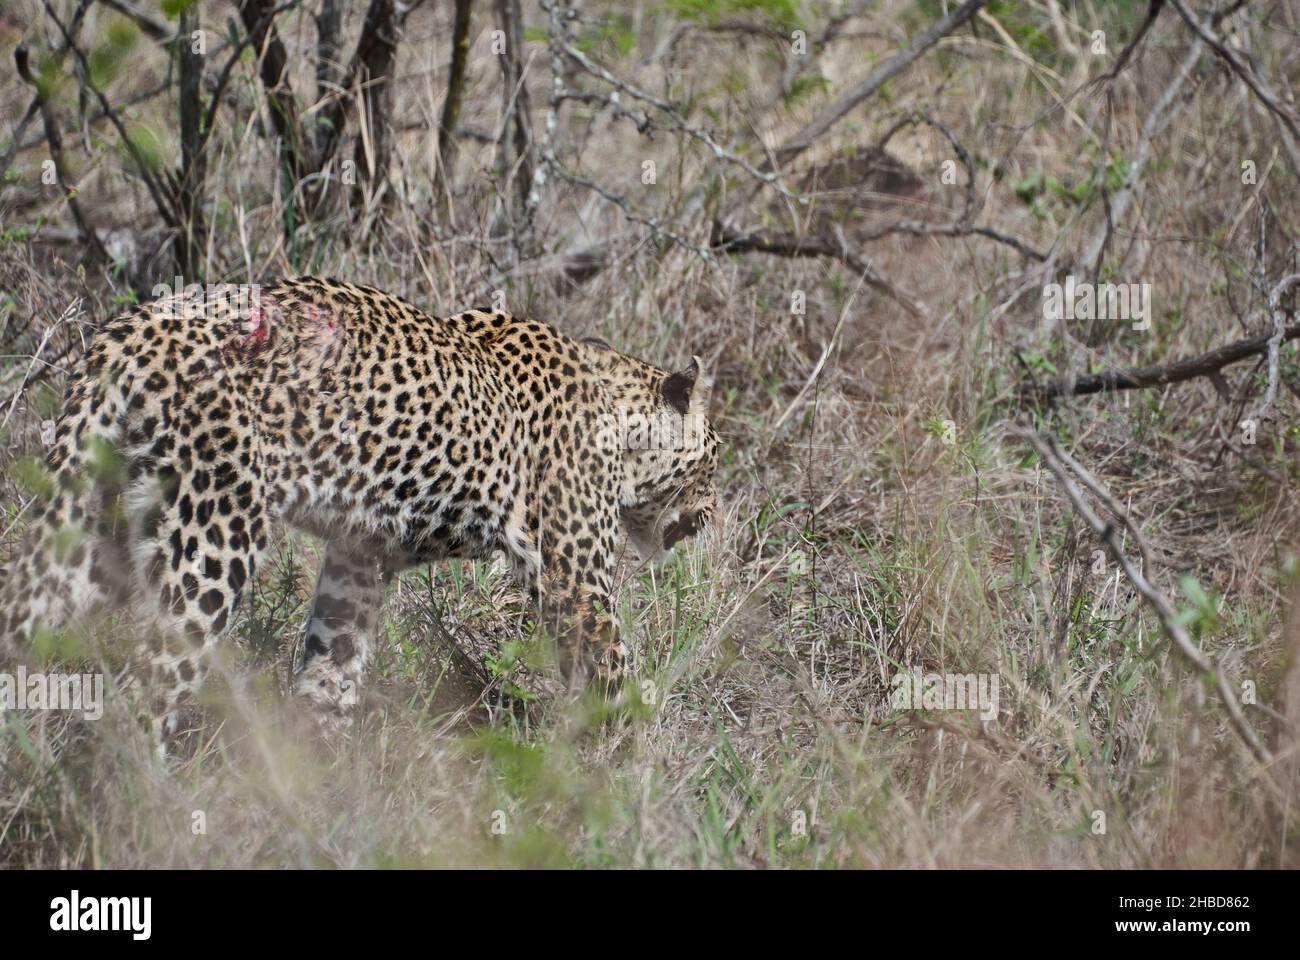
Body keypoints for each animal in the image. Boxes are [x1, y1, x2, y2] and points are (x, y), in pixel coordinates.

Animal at [0, 276, 718, 744]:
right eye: (714, 460)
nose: (713, 514)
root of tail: (131, 330)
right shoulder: (576, 579)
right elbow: (615, 682)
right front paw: (633, 790)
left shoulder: (359, 559)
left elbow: (332, 664)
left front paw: (319, 773)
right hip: (212, 537)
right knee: (144, 694)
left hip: (98, 531)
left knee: (28, 628)